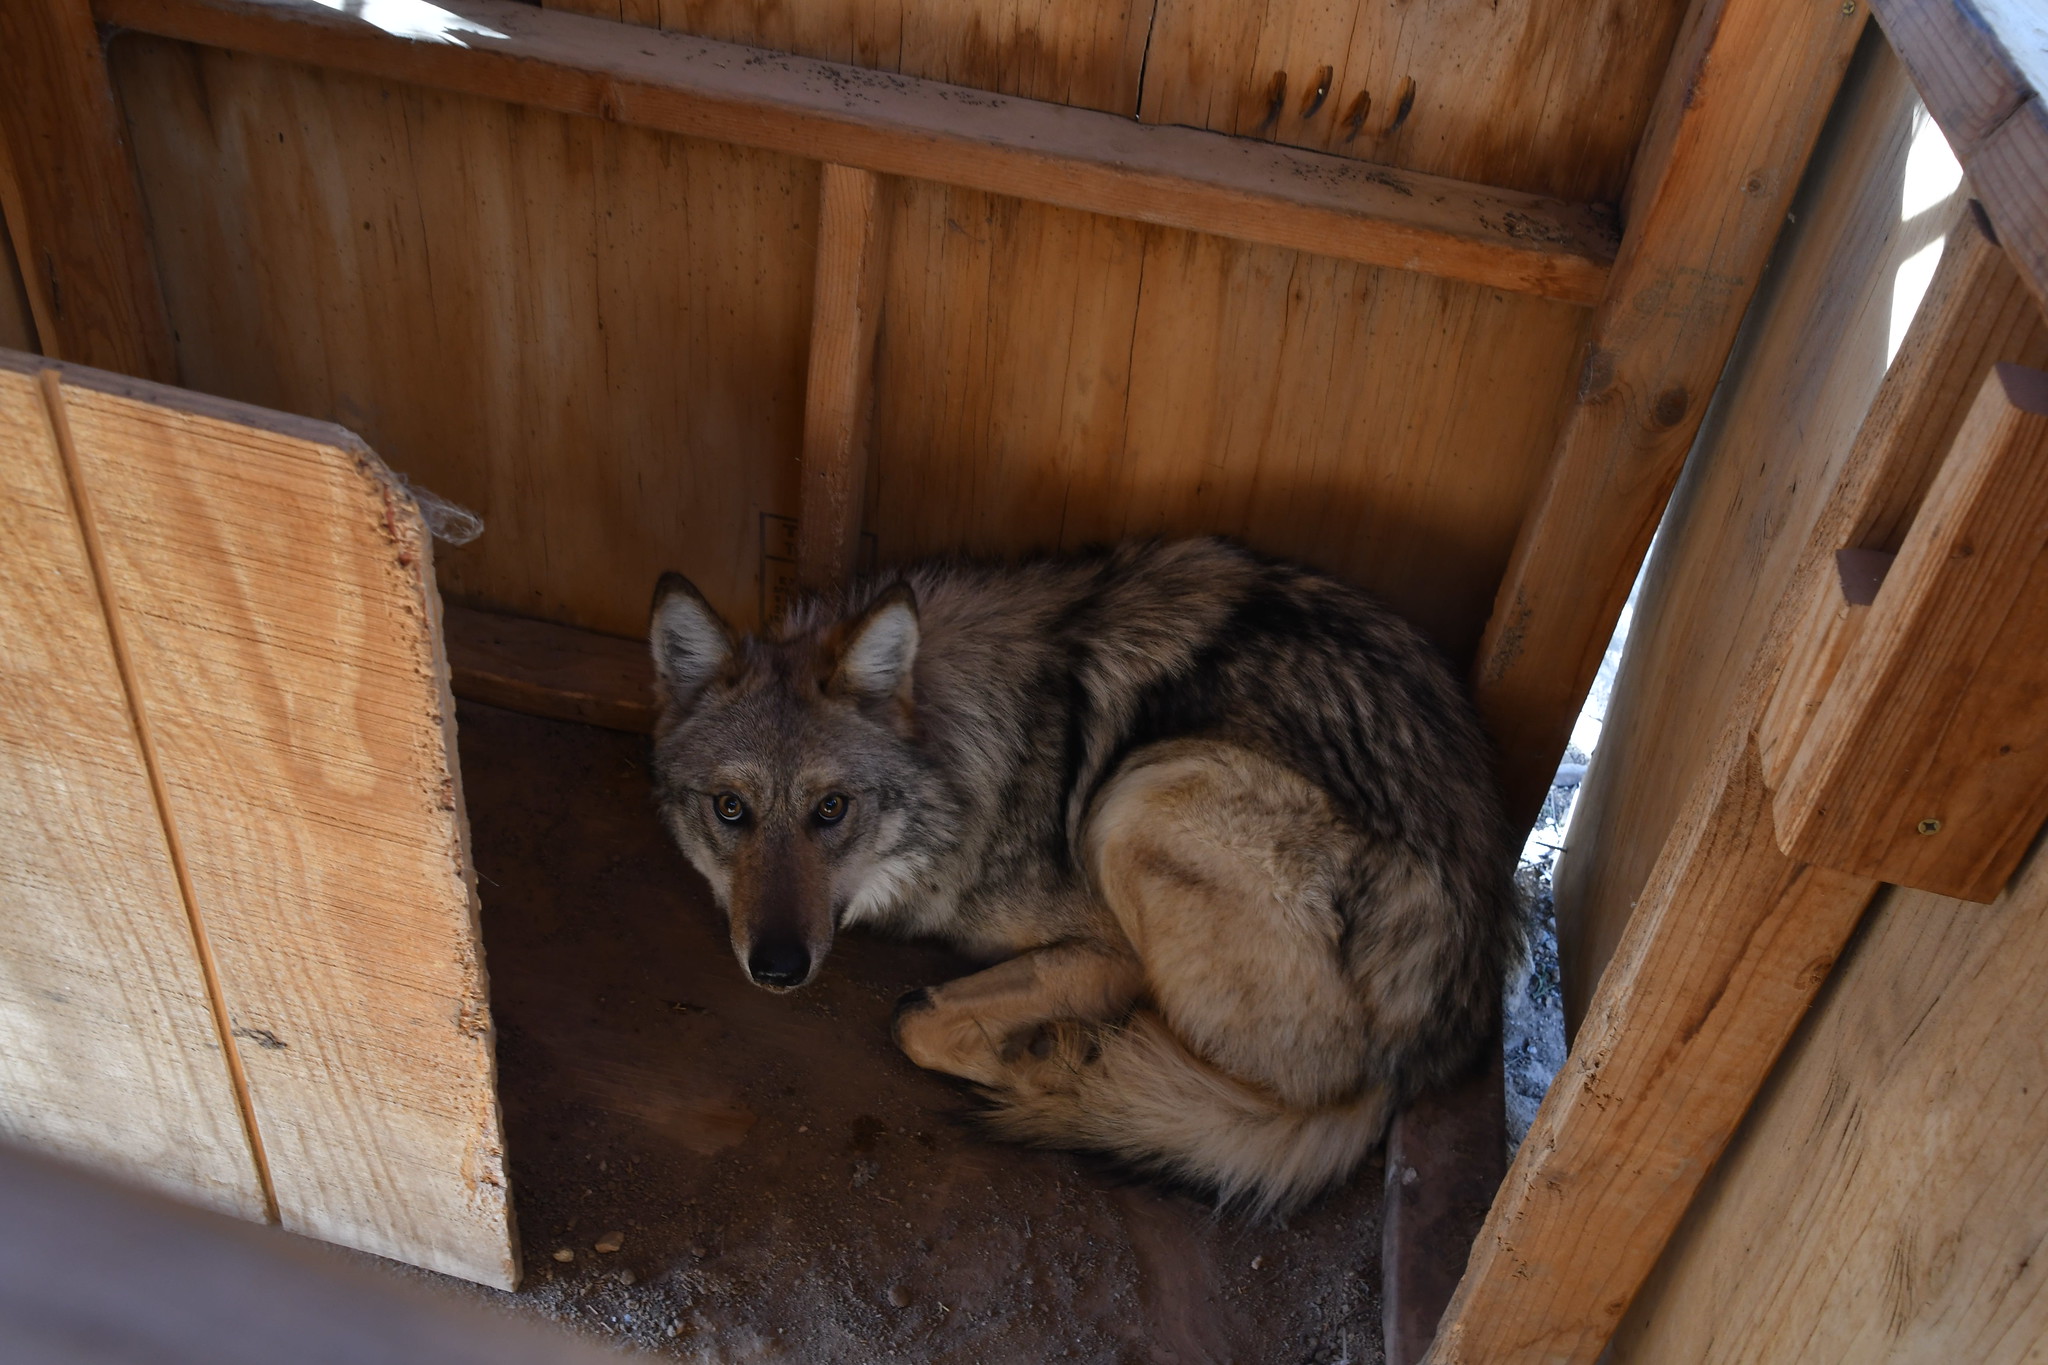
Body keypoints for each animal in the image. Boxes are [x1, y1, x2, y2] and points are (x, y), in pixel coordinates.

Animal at [646, 538, 1522, 1214]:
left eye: (831, 808)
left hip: (1141, 798)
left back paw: (1067, 1062)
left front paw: (1033, 1042)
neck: (974, 751)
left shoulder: (1112, 945)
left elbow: (915, 1019)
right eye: (731, 808)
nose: (778, 967)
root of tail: (1421, 1054)